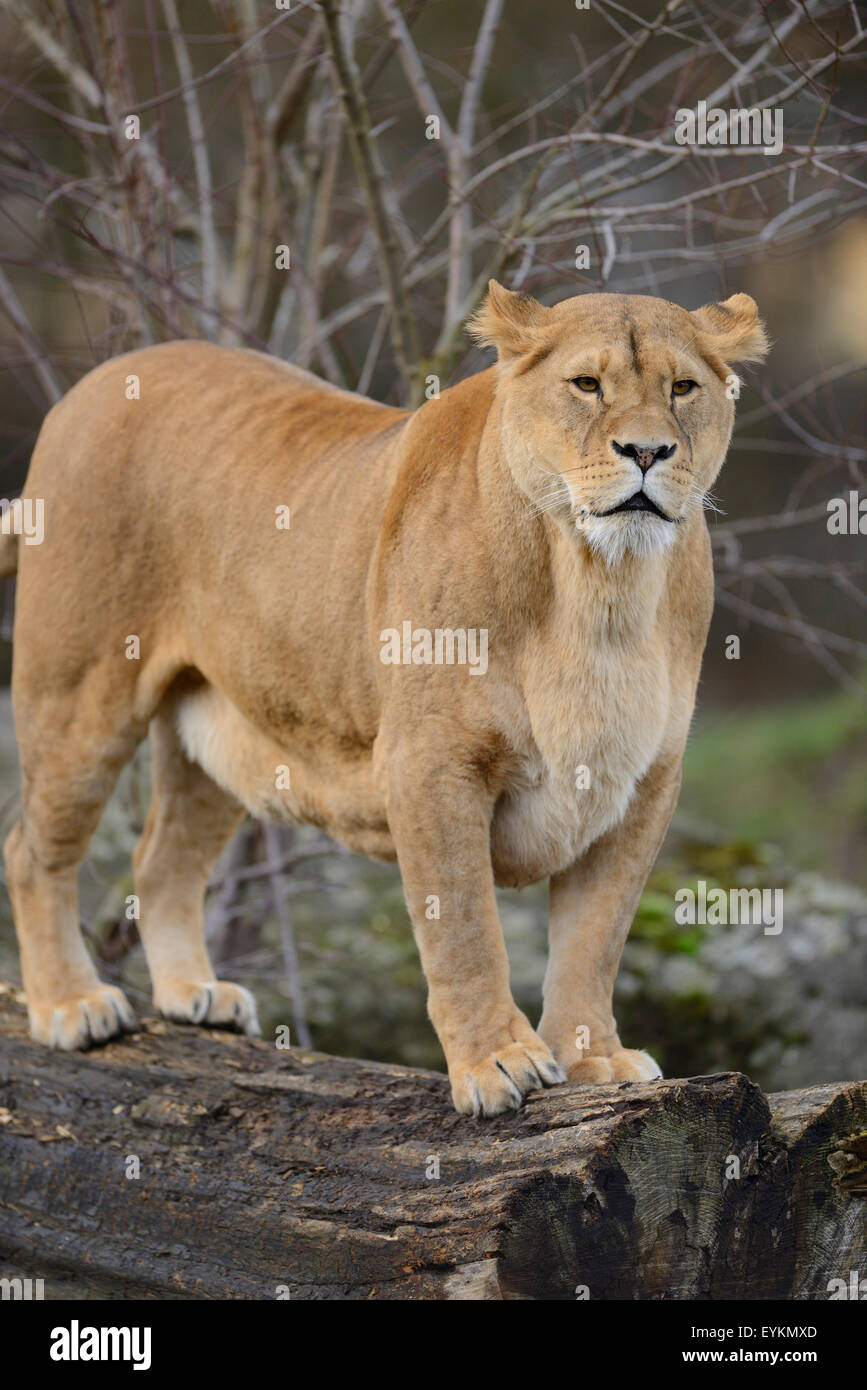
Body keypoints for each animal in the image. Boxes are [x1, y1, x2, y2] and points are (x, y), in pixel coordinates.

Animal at [1, 283, 767, 1116]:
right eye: (586, 385)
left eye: (682, 388)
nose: (648, 452)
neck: (601, 587)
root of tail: (87, 389)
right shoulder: (432, 764)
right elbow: (464, 926)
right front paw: (496, 1063)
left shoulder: (642, 782)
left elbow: (593, 941)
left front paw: (592, 1058)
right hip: (78, 695)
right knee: (32, 850)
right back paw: (71, 1005)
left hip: (211, 729)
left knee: (159, 858)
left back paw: (193, 996)